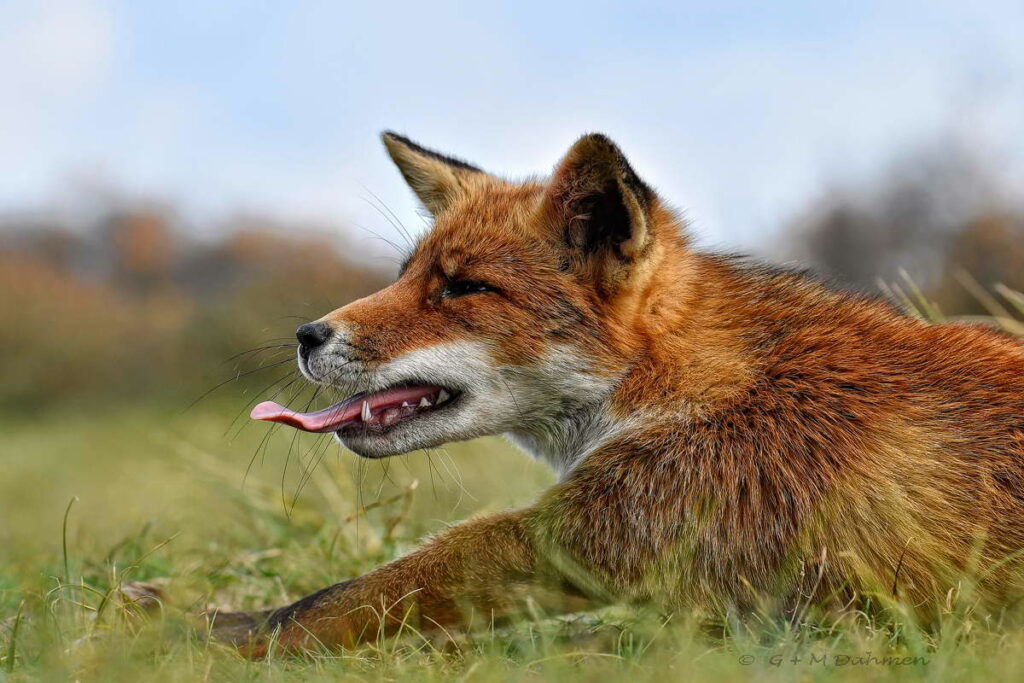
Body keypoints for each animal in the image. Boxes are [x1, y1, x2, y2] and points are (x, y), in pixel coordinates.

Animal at [212, 131, 1024, 656]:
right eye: (407, 276)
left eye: (463, 288)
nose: (306, 335)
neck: (692, 385)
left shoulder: (603, 537)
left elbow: (397, 576)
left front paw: (225, 635)